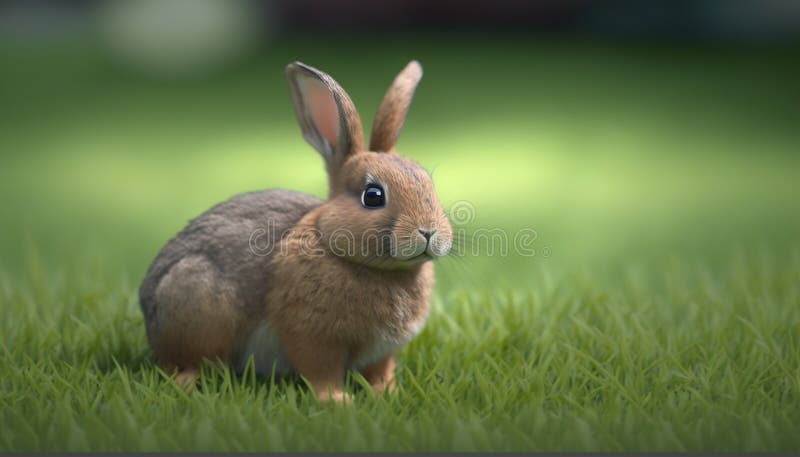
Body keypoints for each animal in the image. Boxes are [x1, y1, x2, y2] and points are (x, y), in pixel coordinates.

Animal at [138, 60, 452, 402]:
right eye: (373, 196)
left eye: (429, 183)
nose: (429, 232)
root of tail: (148, 311)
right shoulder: (312, 336)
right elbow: (321, 372)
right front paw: (338, 402)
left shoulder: (383, 353)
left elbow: (380, 372)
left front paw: (389, 393)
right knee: (189, 363)